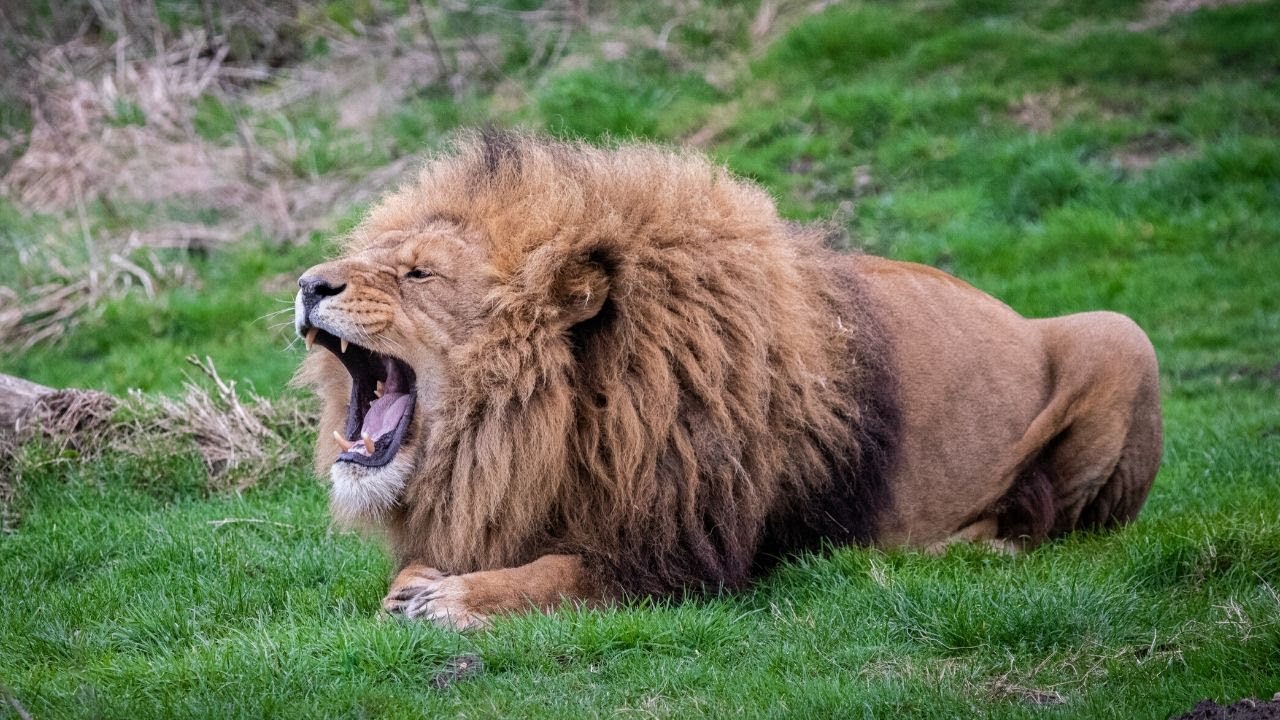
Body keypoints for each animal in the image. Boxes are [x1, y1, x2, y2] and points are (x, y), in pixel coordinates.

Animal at [293, 131, 1161, 629]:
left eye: (420, 273)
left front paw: (454, 597)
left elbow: (561, 575)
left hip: (1123, 335)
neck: (555, 419)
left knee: (1044, 525)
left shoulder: (689, 555)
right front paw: (417, 581)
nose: (307, 284)